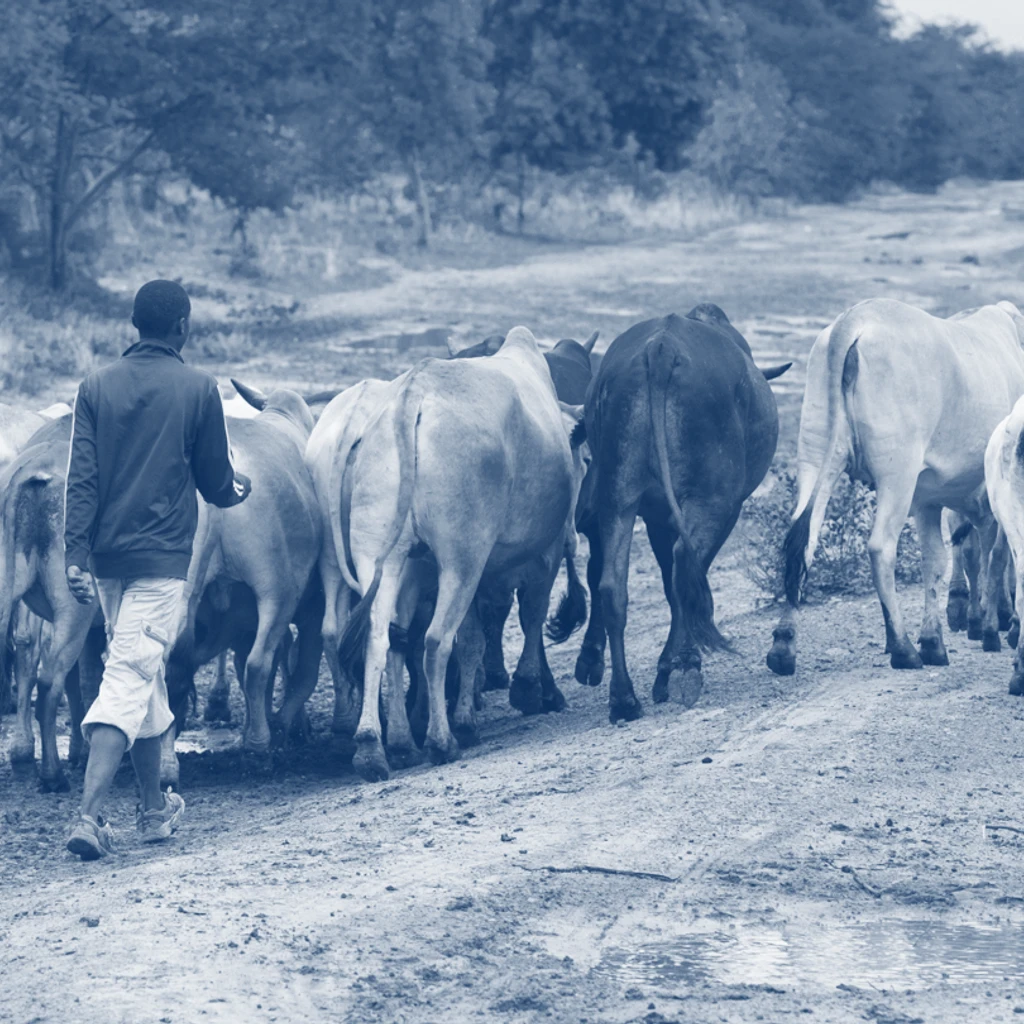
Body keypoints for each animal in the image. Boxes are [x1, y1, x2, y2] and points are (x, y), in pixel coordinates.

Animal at [163, 382, 323, 781]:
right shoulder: (311, 606)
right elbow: (301, 668)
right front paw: (286, 725)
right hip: (276, 591)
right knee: (258, 665)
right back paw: (259, 747)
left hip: (181, 591)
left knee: (168, 663)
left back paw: (166, 763)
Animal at [337, 327, 587, 781]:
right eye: (586, 460)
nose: (575, 535)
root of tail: (413, 395)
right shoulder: (541, 556)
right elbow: (530, 617)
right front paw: (530, 690)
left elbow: (472, 639)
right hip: (462, 559)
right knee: (436, 640)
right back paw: (439, 740)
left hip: (383, 557)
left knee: (380, 638)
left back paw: (376, 746)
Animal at [575, 306, 788, 722]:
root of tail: (661, 348)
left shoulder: (656, 517)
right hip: (713, 501)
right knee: (684, 569)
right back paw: (683, 666)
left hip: (619, 496)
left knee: (612, 586)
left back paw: (624, 698)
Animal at [767, 299, 1024, 676]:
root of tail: (856, 318)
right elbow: (993, 558)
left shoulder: (929, 500)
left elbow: (938, 560)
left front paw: (935, 638)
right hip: (897, 474)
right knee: (880, 547)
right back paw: (903, 647)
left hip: (815, 455)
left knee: (804, 543)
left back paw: (784, 645)